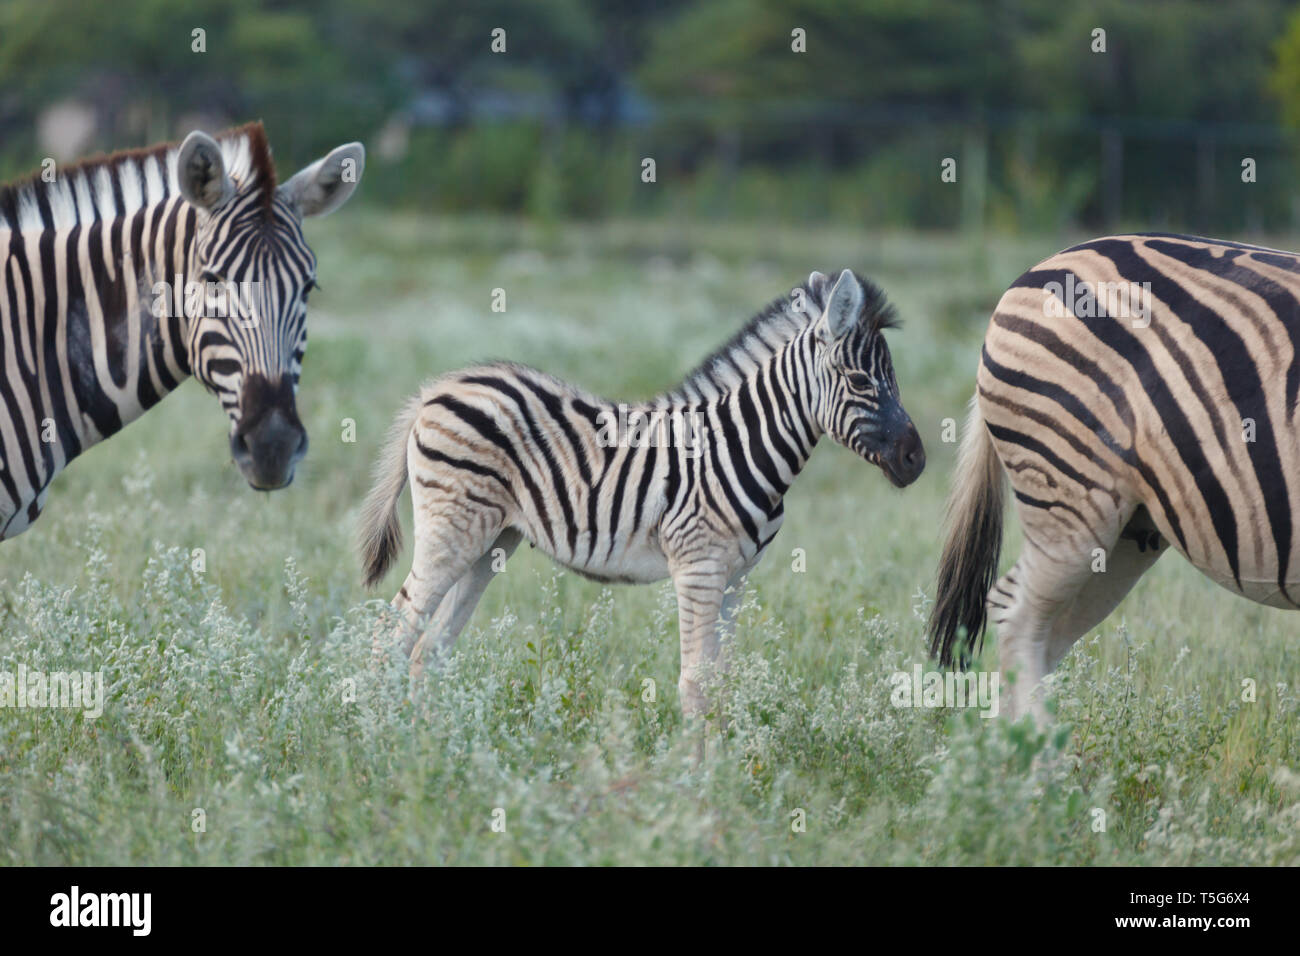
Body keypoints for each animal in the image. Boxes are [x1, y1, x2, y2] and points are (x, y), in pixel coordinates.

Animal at [359, 268, 925, 715]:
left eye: (894, 376)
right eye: (860, 380)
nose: (916, 460)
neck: (742, 444)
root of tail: (439, 388)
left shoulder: (737, 577)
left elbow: (721, 682)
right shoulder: (699, 566)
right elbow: (695, 683)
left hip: (491, 540)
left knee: (428, 650)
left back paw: (433, 748)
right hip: (451, 527)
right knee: (390, 637)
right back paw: (378, 746)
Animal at [929, 232, 1300, 722]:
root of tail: (1030, 273)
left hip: (1124, 531)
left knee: (1045, 635)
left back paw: (1011, 744)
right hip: (1068, 490)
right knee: (1018, 617)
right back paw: (1039, 745)